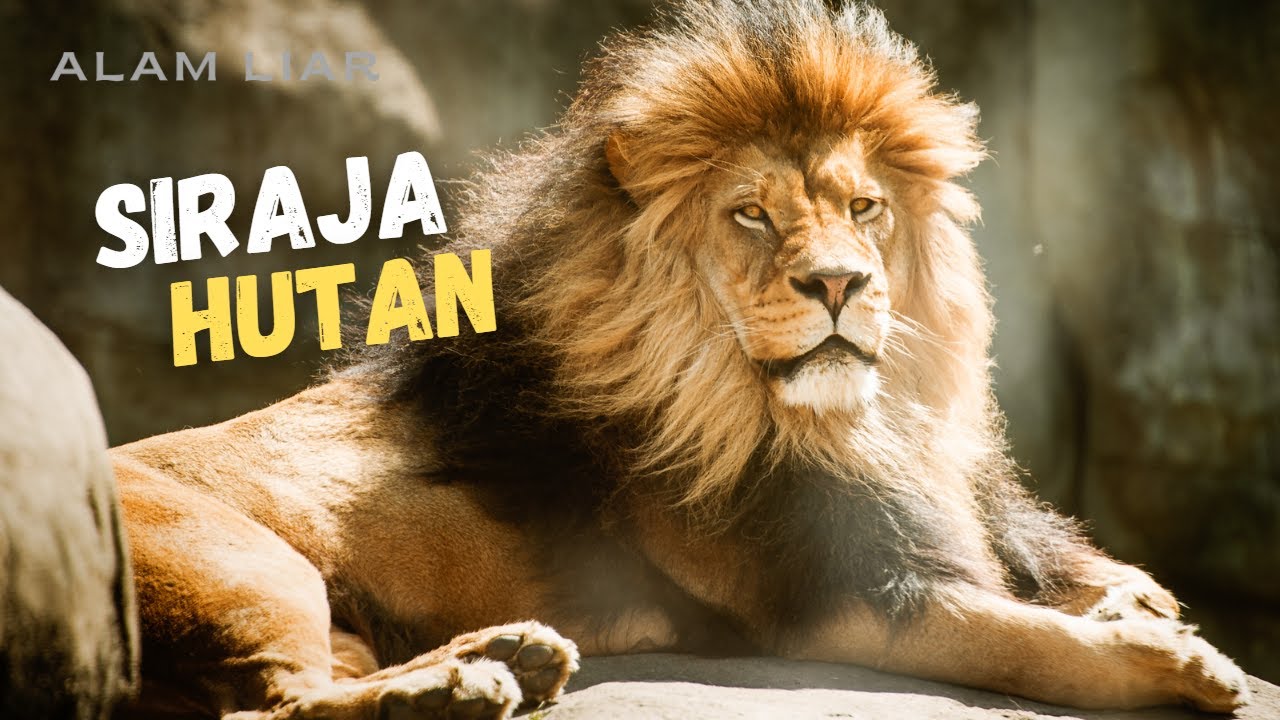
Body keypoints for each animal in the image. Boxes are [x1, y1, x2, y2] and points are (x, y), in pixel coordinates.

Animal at [112, 1, 1250, 717]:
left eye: (864, 208)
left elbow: (1060, 574)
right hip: (240, 562)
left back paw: (498, 661)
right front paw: (1174, 664)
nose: (840, 284)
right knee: (278, 704)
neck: (850, 417)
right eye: (751, 215)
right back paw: (452, 689)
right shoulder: (825, 608)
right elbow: (1020, 639)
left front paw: (1137, 601)